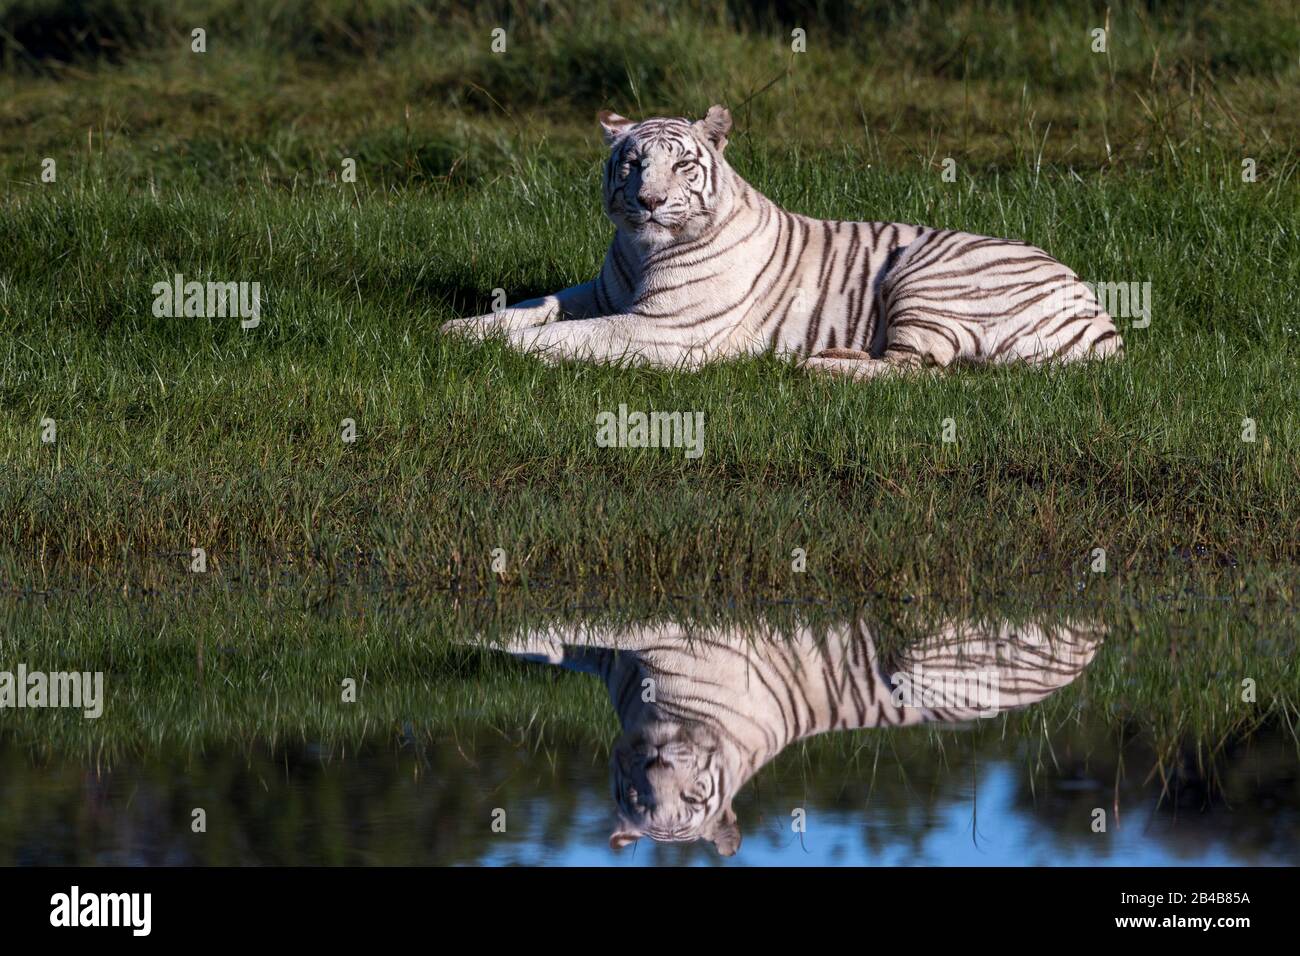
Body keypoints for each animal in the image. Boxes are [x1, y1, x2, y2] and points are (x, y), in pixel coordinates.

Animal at [440, 104, 1122, 378]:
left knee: (917, 368)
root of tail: (1101, 316)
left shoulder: (665, 329)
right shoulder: (603, 291)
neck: (641, 248)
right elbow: (538, 305)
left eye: (682, 165)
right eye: (632, 164)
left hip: (927, 273)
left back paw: (817, 366)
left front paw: (506, 350)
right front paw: (459, 330)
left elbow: (568, 336)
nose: (650, 202)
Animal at [482, 615, 1104, 856]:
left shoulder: (677, 636)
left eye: (693, 797)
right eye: (639, 798)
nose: (655, 762)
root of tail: (1092, 647)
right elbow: (538, 641)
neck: (644, 702)